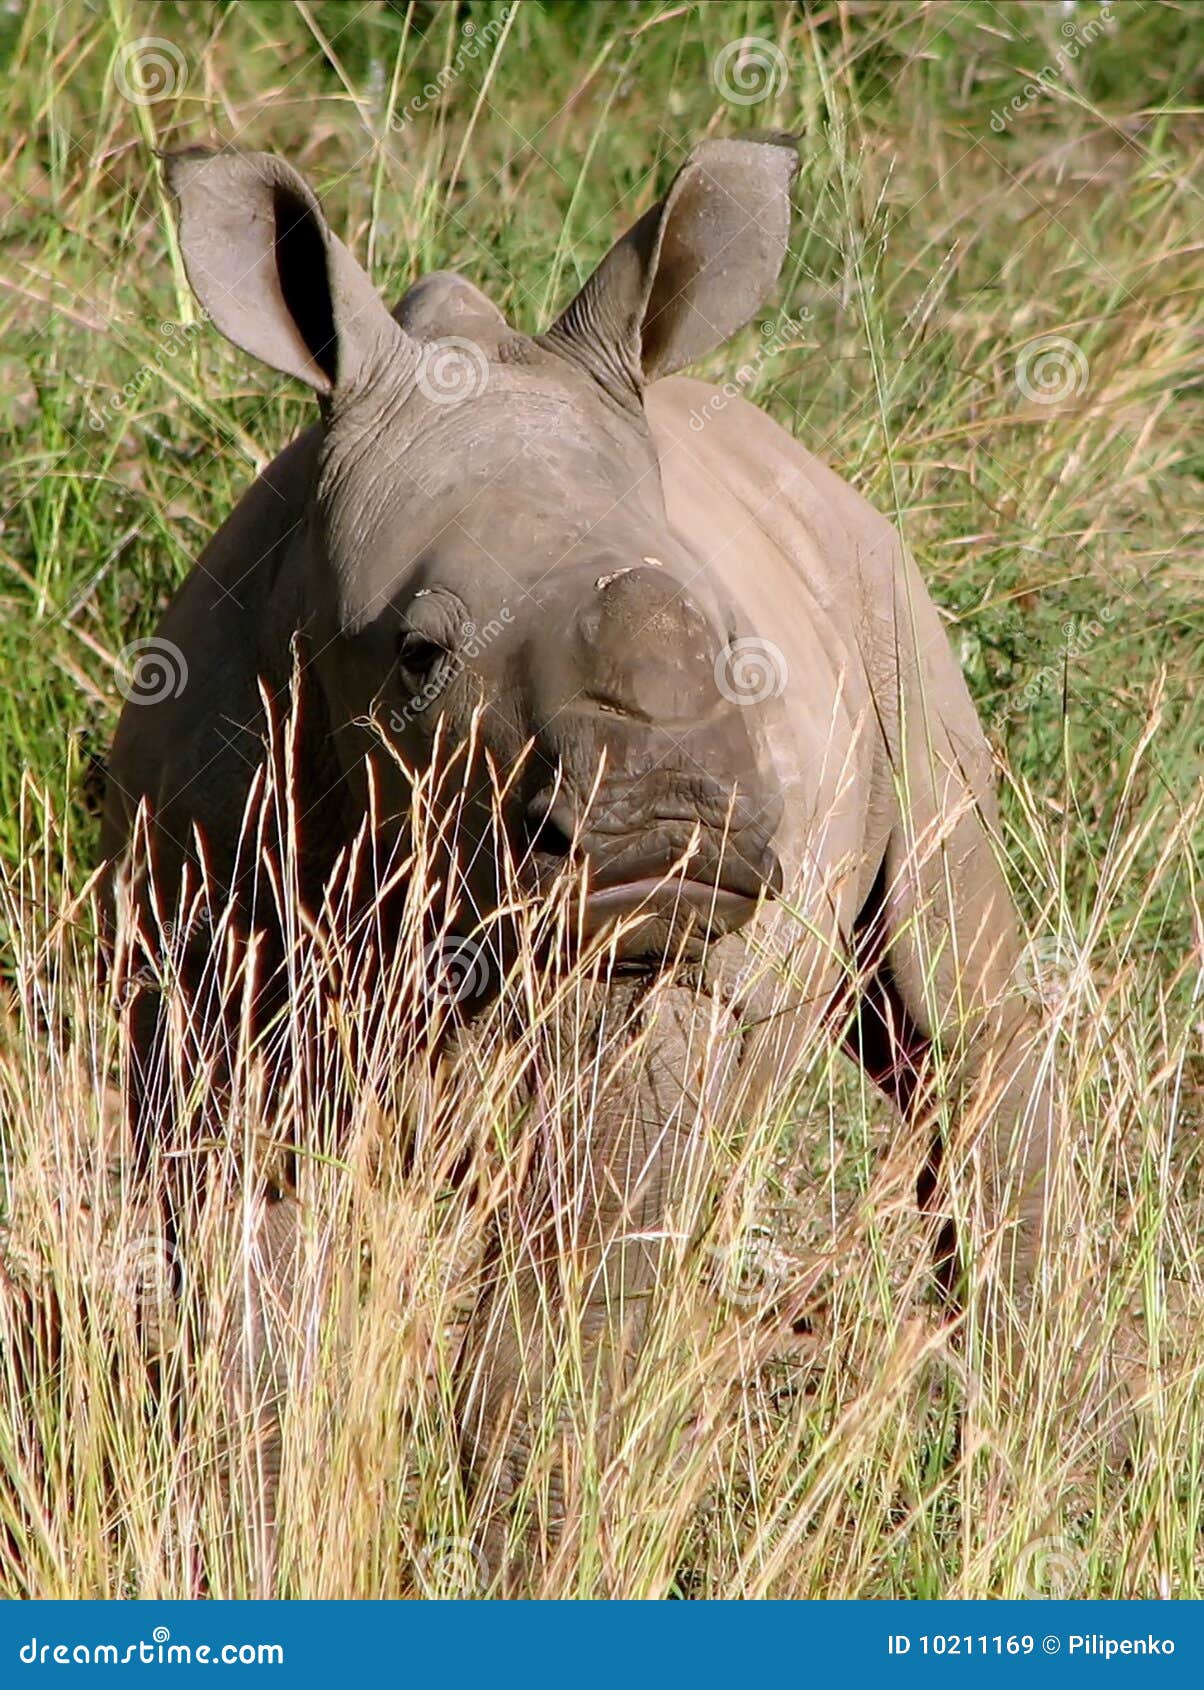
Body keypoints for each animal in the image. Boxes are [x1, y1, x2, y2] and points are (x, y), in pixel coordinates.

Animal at [100, 138, 1054, 1581]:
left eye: (734, 645)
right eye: (418, 653)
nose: (665, 824)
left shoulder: (657, 1000)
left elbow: (556, 1331)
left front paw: (534, 1565)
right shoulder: (201, 977)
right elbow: (247, 1315)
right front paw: (255, 1550)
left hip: (895, 614)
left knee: (954, 1017)